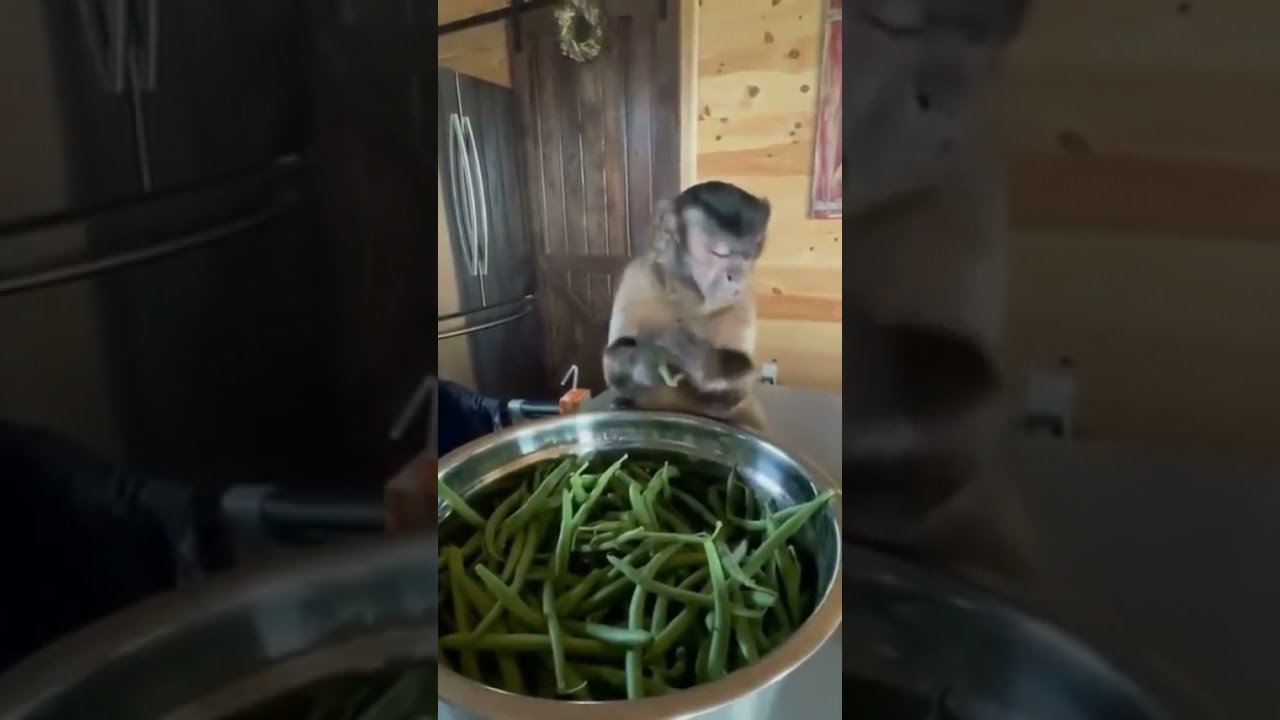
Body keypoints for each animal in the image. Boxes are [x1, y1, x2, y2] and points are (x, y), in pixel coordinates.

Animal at [601, 181, 771, 433]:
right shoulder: (638, 274)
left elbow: (738, 381)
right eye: (720, 253)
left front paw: (694, 356)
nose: (736, 277)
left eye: (747, 256)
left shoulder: (744, 296)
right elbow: (613, 357)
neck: (688, 294)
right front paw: (646, 361)